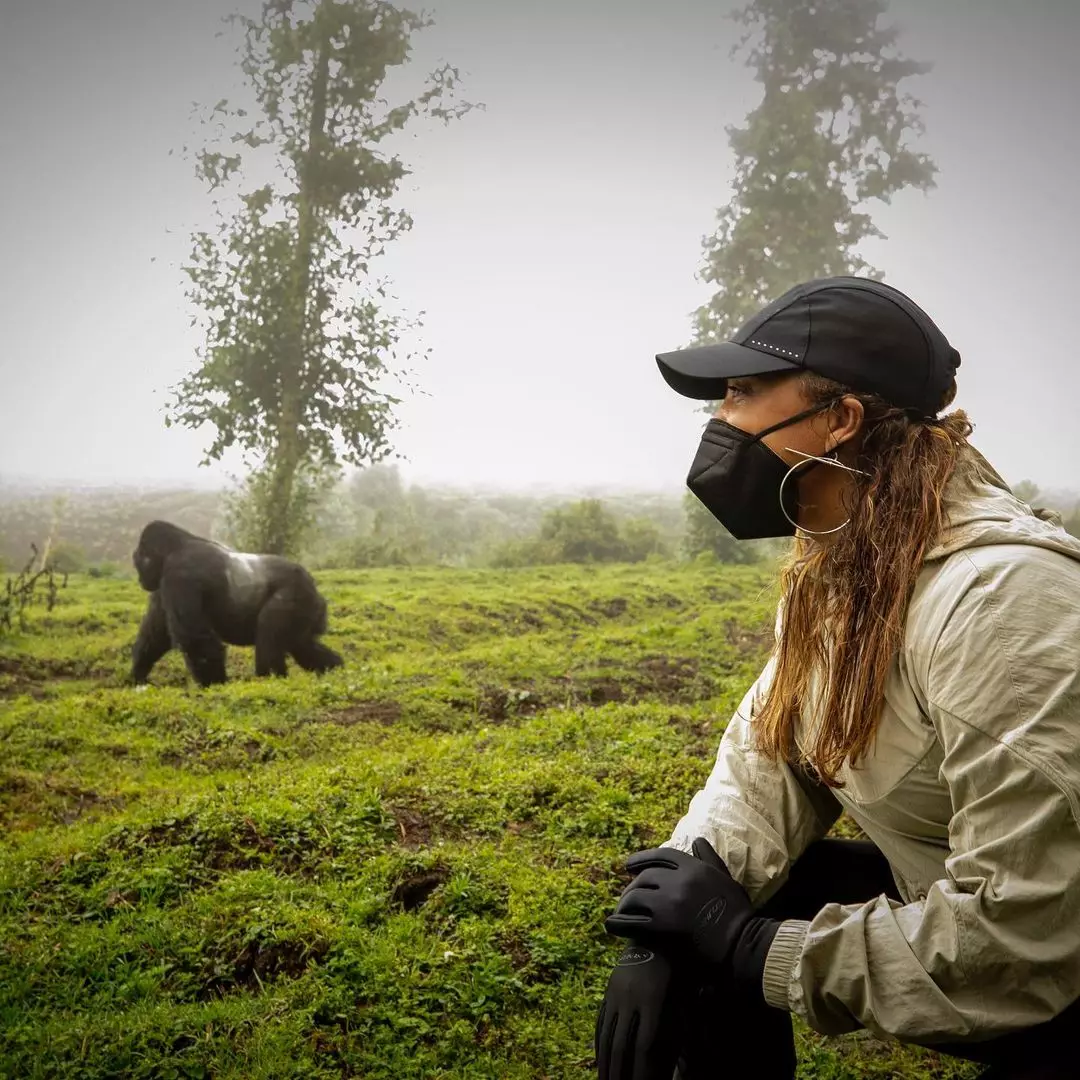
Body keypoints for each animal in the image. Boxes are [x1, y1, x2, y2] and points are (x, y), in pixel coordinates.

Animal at [130, 520, 343, 686]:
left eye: (138, 559)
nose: (141, 579)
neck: (175, 546)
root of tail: (314, 586)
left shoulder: (179, 573)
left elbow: (194, 637)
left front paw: (214, 684)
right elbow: (156, 634)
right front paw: (137, 674)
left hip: (298, 595)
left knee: (269, 638)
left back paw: (270, 679)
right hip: (308, 609)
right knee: (303, 646)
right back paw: (335, 668)